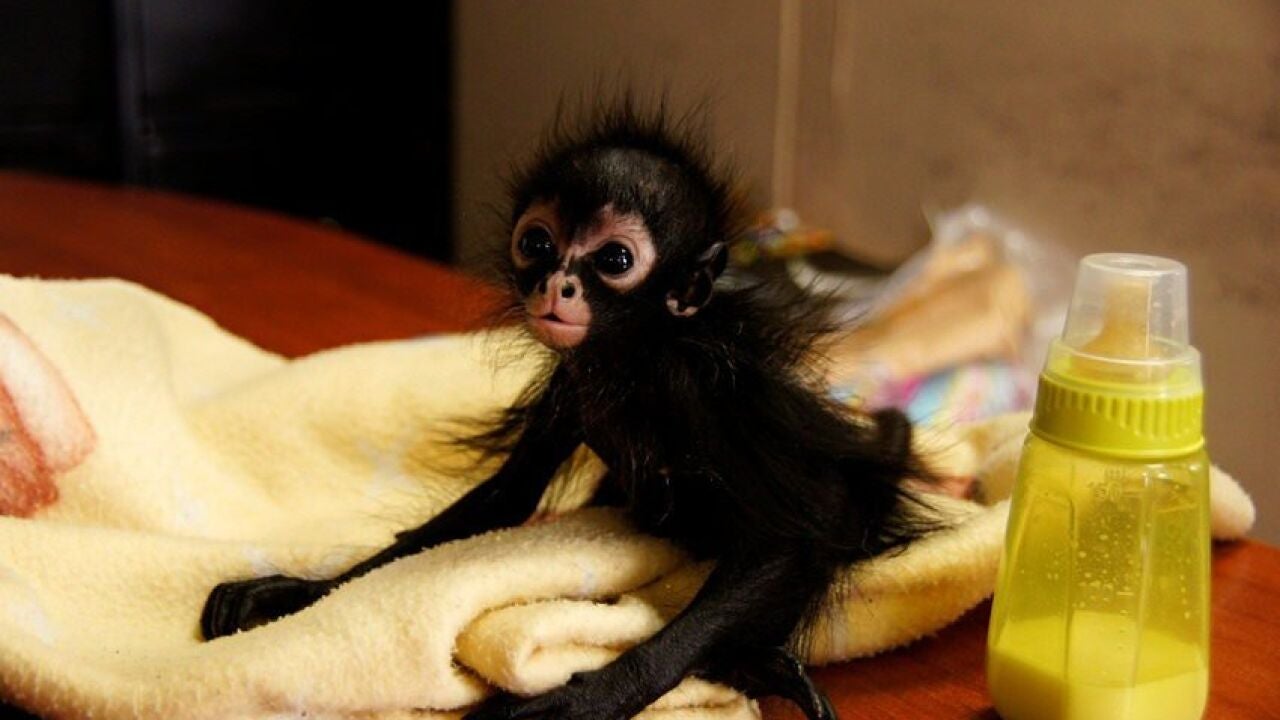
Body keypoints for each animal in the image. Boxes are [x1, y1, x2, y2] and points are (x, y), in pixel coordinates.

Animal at [200, 99, 933, 720]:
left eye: (615, 257)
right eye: (538, 244)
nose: (558, 285)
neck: (634, 357)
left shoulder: (703, 386)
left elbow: (808, 522)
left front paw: (596, 696)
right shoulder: (572, 380)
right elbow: (502, 500)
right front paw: (298, 591)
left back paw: (757, 665)